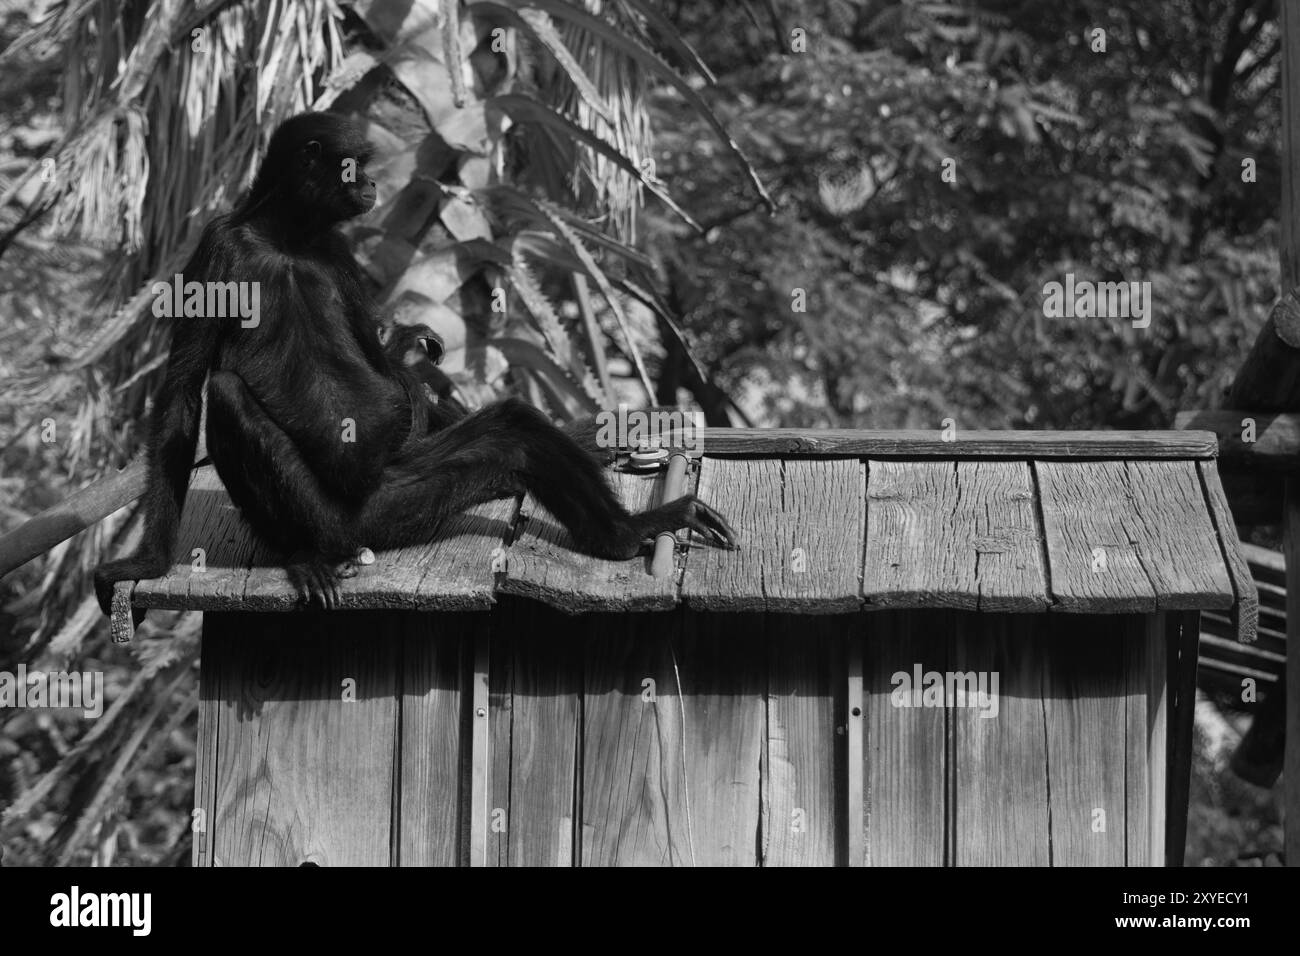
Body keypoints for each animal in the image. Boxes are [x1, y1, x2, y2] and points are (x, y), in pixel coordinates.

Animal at [94, 111, 737, 612]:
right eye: (353, 164)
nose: (373, 183)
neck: (287, 239)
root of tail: (357, 532)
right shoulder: (217, 246)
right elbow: (183, 392)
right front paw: (147, 563)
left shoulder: (337, 252)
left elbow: (389, 375)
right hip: (326, 512)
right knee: (227, 392)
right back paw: (304, 557)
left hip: (398, 498)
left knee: (516, 428)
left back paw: (627, 534)